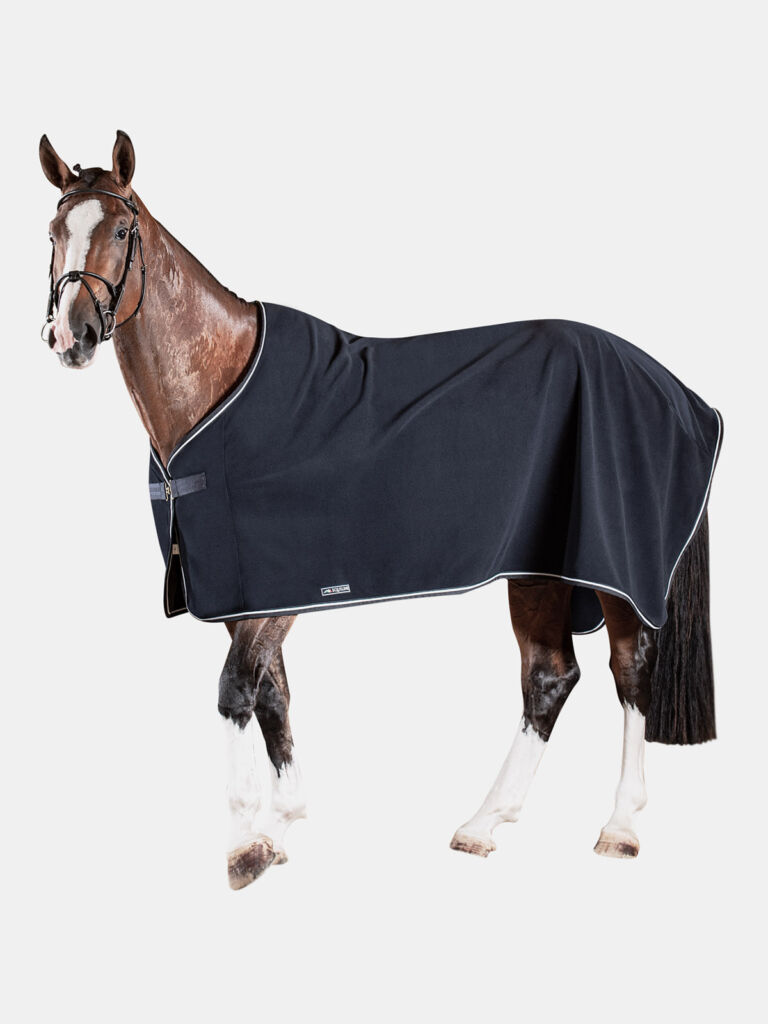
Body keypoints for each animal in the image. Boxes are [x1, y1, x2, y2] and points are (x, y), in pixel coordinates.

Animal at [39, 131, 720, 890]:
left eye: (121, 231)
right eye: (53, 232)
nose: (71, 335)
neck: (221, 388)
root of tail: (675, 391)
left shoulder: (284, 588)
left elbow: (237, 691)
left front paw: (244, 845)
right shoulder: (249, 593)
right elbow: (273, 697)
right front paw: (281, 828)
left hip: (614, 569)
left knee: (630, 668)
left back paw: (620, 826)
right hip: (539, 569)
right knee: (550, 676)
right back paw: (483, 822)